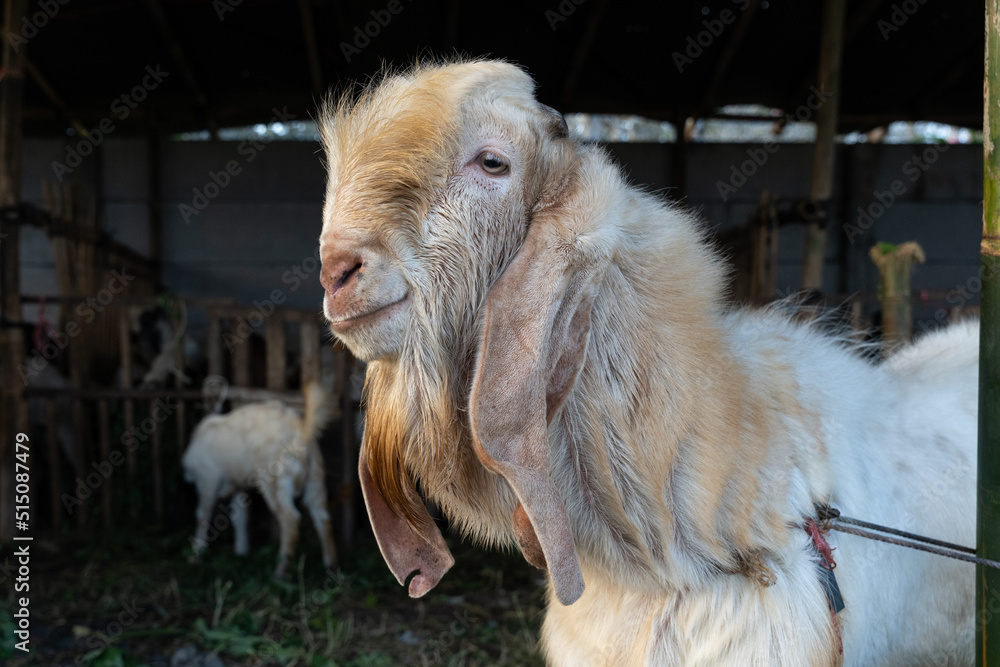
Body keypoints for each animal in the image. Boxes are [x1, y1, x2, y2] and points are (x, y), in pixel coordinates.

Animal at [182, 382, 337, 578]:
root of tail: (300, 430)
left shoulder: (207, 479)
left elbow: (202, 515)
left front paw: (196, 555)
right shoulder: (239, 485)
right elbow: (240, 518)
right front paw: (241, 552)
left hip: (276, 480)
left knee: (290, 518)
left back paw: (280, 571)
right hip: (316, 476)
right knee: (322, 517)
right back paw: (332, 569)